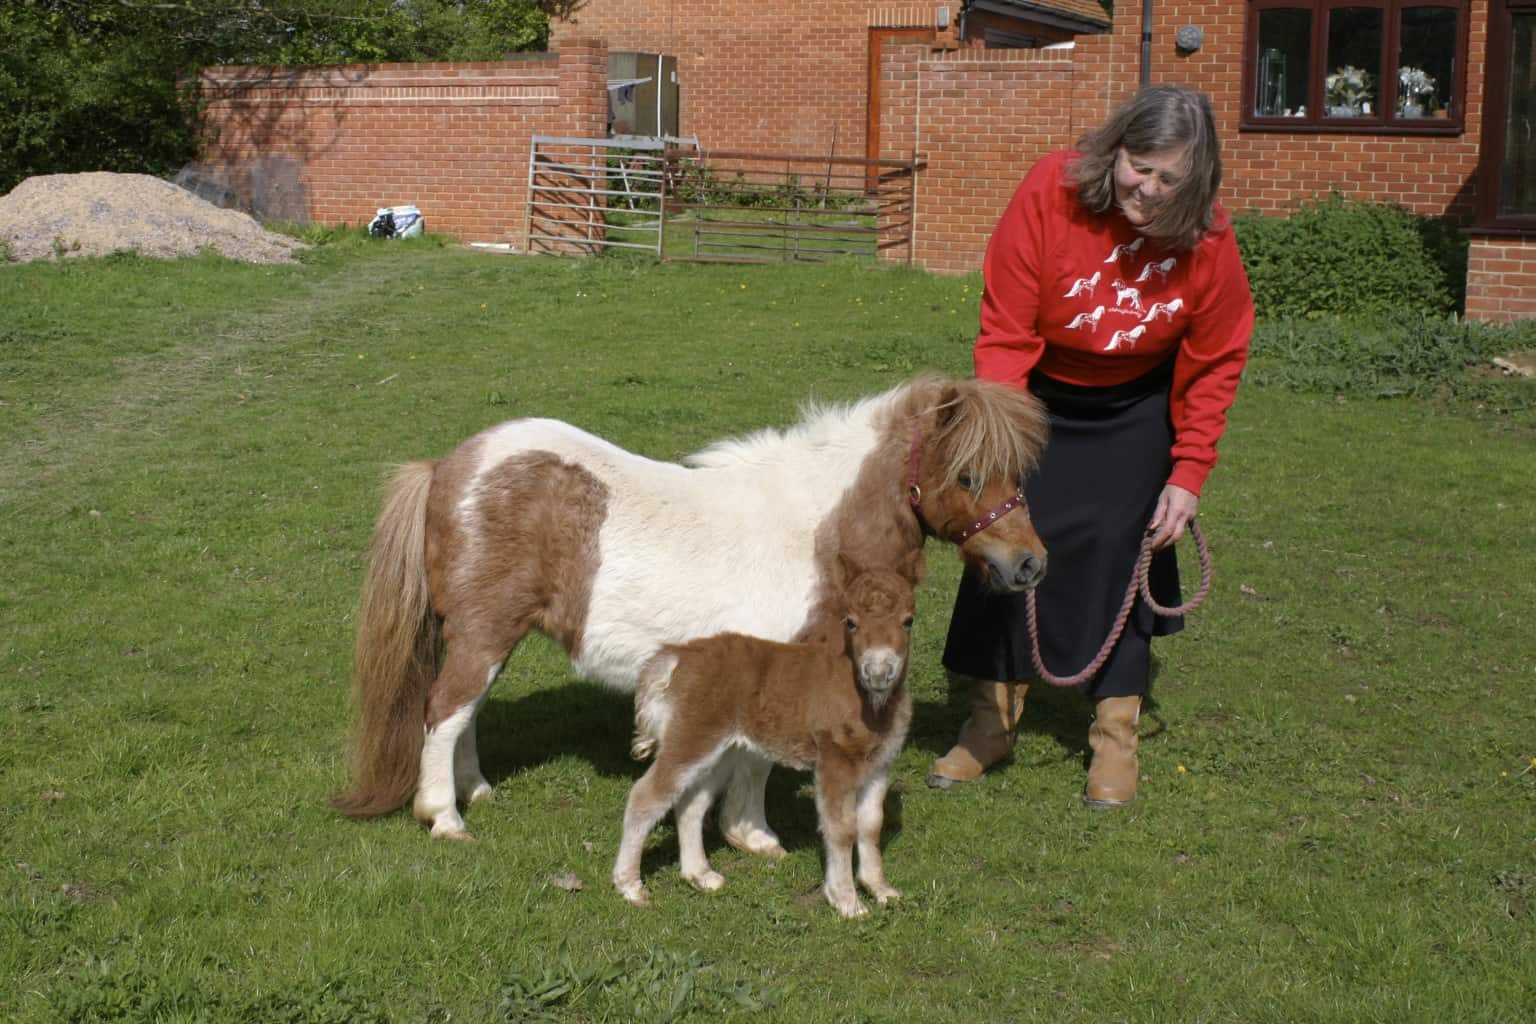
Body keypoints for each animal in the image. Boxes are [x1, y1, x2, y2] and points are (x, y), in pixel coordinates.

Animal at [332, 374, 1050, 850]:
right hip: (484, 632)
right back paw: (443, 816)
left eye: (1017, 473)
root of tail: (447, 466)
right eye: (966, 475)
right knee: (445, 711)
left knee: (465, 712)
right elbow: (759, 759)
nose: (1029, 565)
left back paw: (476, 790)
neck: (816, 527)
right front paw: (753, 835)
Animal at [615, 552, 921, 918]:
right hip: (691, 736)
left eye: (908, 621)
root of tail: (677, 657)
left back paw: (700, 875)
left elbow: (871, 825)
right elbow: (841, 828)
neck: (868, 700)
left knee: (691, 803)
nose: (878, 672)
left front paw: (881, 889)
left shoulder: (881, 763)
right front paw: (847, 902)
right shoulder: (835, 760)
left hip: (719, 749)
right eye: (850, 622)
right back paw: (630, 887)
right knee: (646, 796)